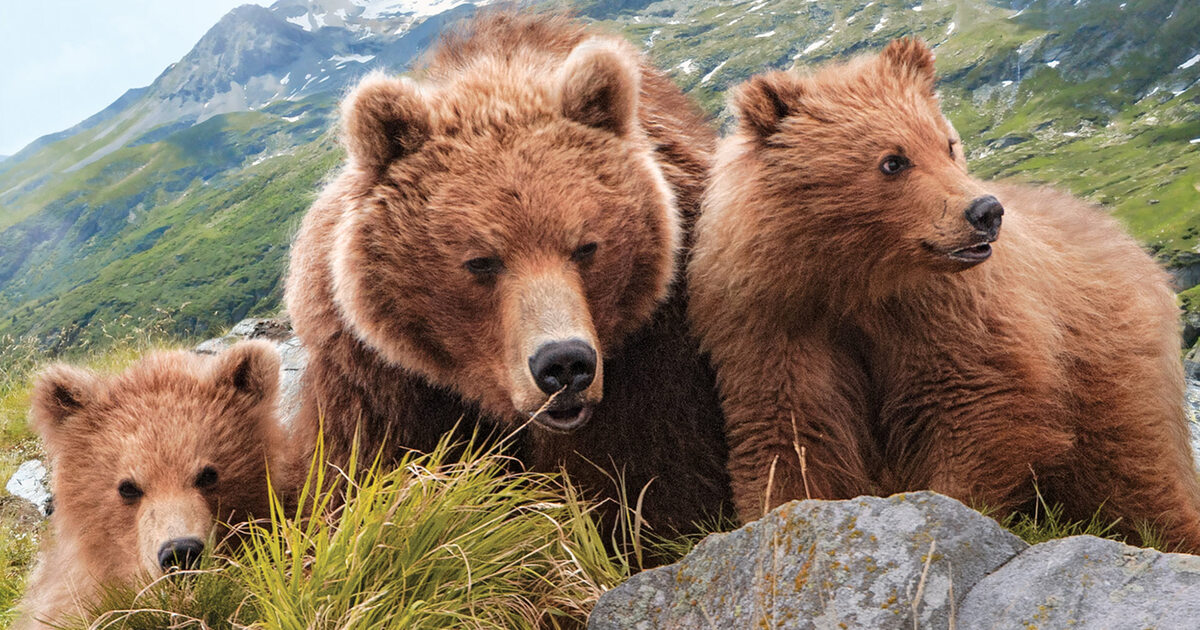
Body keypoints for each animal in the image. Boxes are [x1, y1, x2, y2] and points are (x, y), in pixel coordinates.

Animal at [284, 11, 731, 538]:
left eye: (586, 246)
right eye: (481, 260)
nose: (564, 364)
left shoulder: (658, 365)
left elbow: (656, 485)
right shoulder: (382, 387)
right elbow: (361, 482)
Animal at [687, 38, 1200, 551]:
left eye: (947, 144)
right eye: (893, 160)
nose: (986, 211)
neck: (856, 279)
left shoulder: (948, 313)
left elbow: (972, 402)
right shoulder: (776, 321)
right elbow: (792, 428)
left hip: (1107, 366)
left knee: (1135, 469)